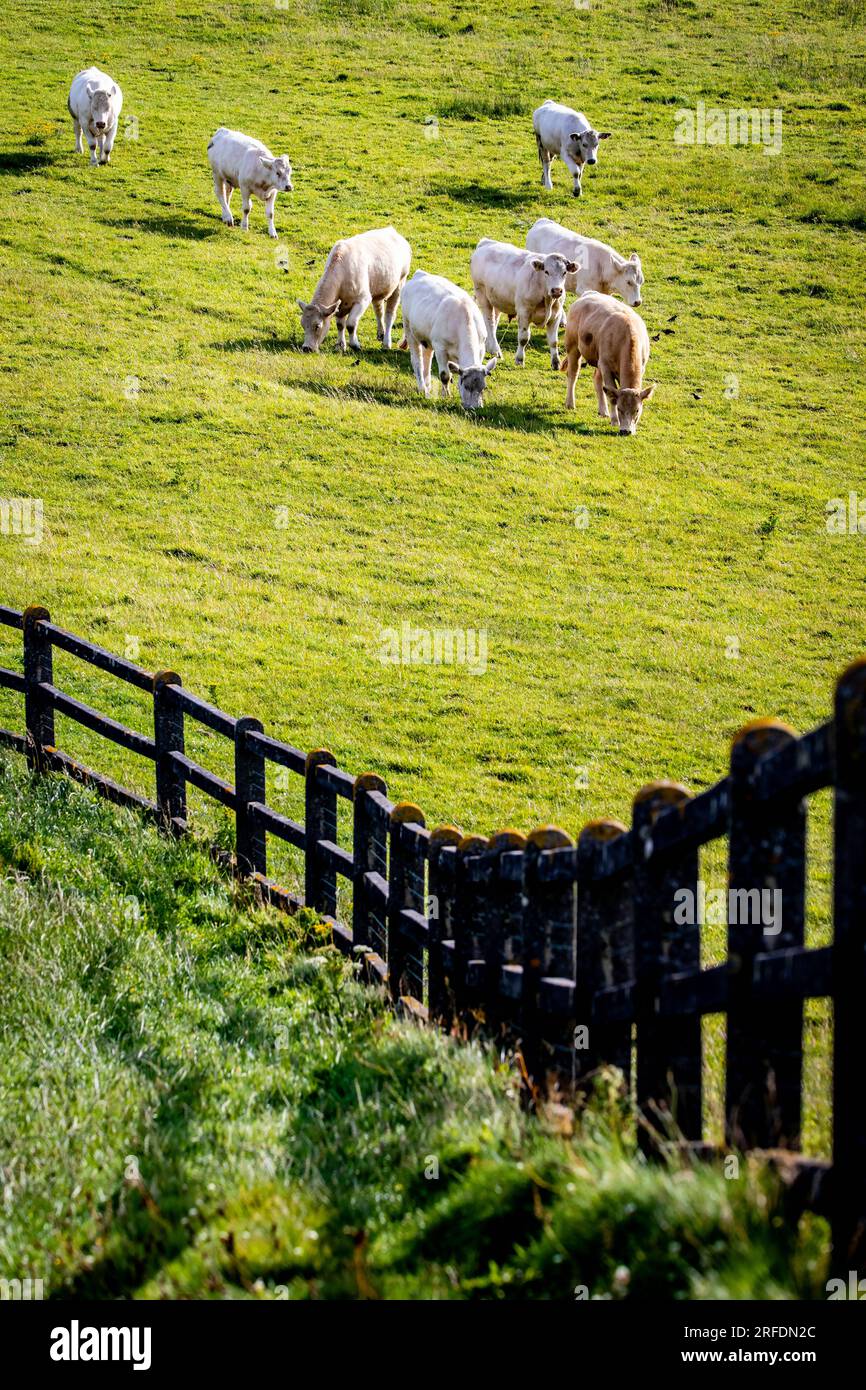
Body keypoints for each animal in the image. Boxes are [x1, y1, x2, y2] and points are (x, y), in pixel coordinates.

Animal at [400, 270, 497, 410]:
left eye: (483, 387)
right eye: (466, 386)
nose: (474, 407)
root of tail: (419, 274)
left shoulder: (481, 348)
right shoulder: (440, 347)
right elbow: (445, 375)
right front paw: (446, 395)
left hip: (427, 339)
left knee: (427, 358)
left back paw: (428, 385)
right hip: (409, 328)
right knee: (417, 361)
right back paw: (422, 388)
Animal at [470, 238, 576, 369]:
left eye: (564, 272)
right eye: (546, 272)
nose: (556, 290)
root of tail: (486, 242)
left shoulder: (556, 316)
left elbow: (553, 341)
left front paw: (556, 363)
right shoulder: (524, 312)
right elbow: (524, 338)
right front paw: (519, 360)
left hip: (497, 299)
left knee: (494, 320)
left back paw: (491, 347)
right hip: (482, 294)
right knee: (489, 321)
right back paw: (495, 349)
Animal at [561, 291, 656, 435]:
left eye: (637, 410)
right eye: (620, 409)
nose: (626, 431)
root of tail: (588, 293)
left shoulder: (640, 367)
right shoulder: (606, 367)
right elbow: (612, 396)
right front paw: (615, 421)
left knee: (597, 380)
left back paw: (603, 410)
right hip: (573, 347)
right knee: (573, 374)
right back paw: (570, 403)